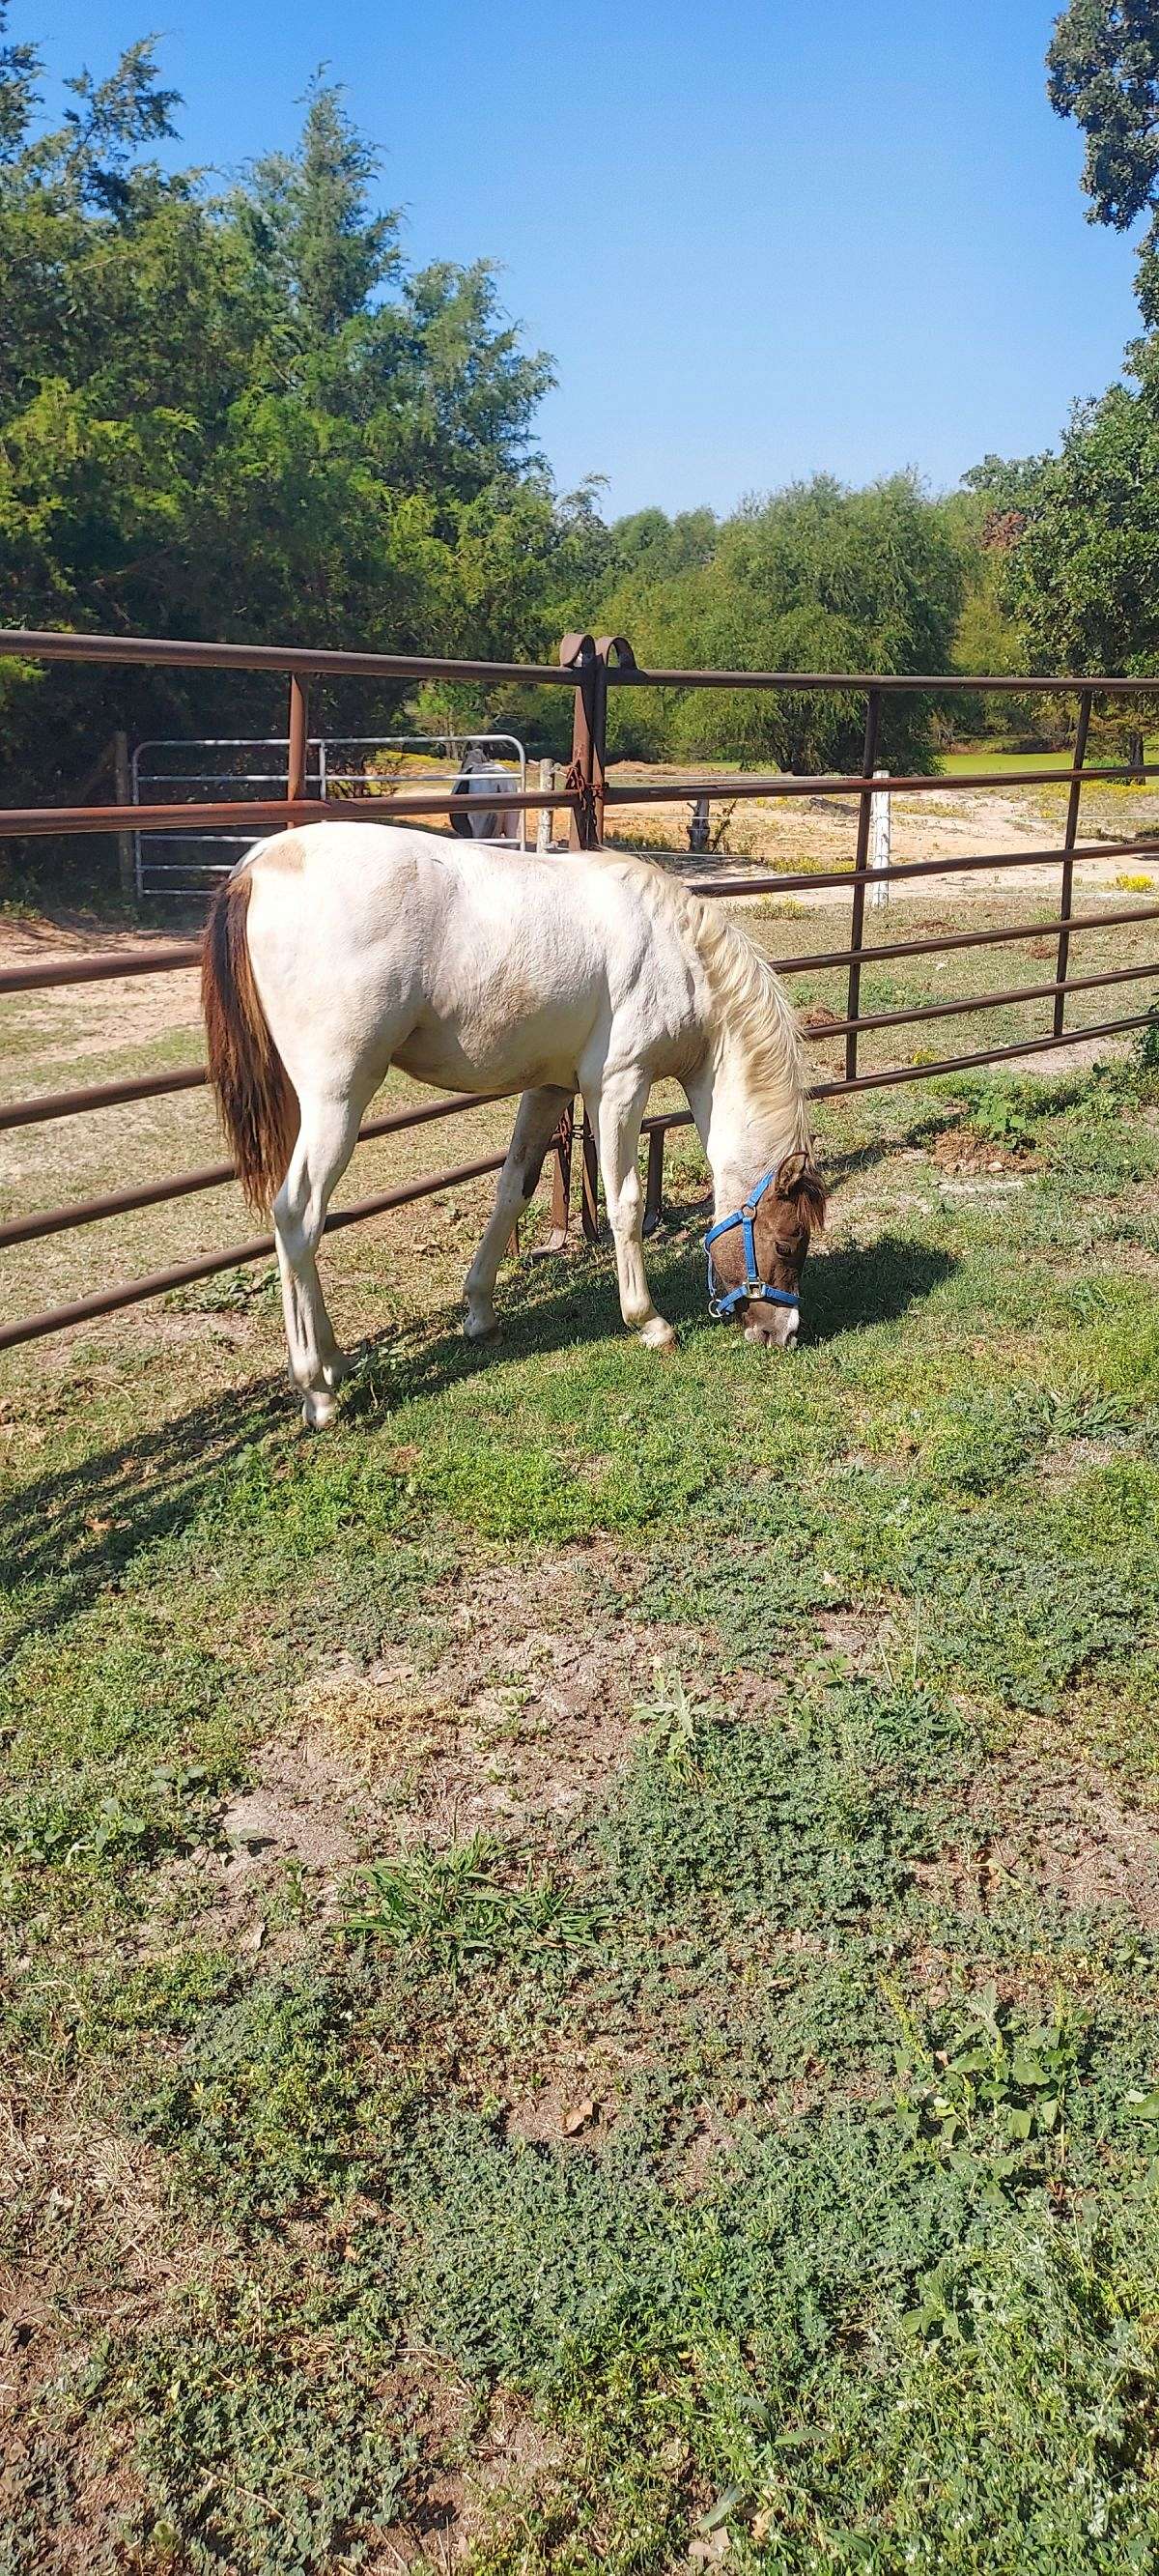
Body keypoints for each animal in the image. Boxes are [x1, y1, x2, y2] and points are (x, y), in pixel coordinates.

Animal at [201, 823, 826, 1426]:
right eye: (788, 1242)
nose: (783, 1334)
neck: (681, 960)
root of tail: (257, 868)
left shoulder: (550, 1089)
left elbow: (513, 1189)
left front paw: (480, 1313)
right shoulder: (619, 1086)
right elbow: (624, 1201)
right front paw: (649, 1322)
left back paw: (334, 1361)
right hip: (338, 1098)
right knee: (298, 1216)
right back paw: (318, 1390)